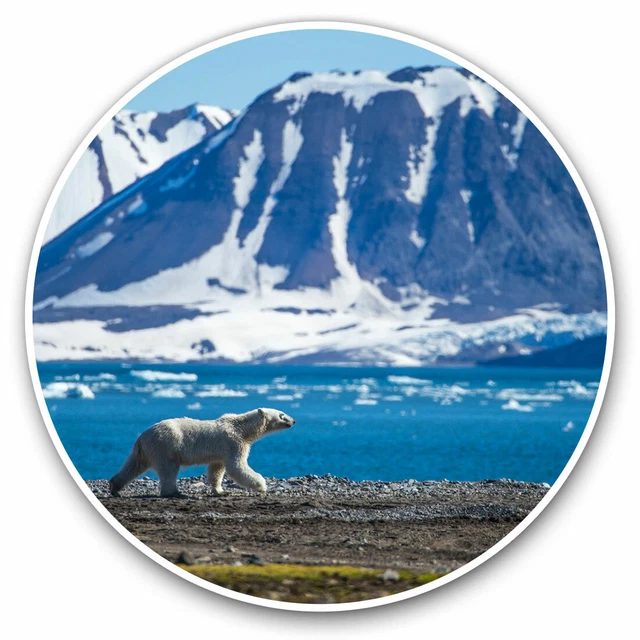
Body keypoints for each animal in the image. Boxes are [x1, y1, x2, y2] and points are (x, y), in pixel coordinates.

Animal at [108, 408, 295, 497]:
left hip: (146, 450)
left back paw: (115, 487)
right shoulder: (234, 443)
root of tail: (142, 437)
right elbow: (237, 467)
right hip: (166, 446)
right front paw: (262, 485)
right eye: (282, 414)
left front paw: (220, 491)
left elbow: (217, 469)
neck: (241, 428)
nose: (293, 421)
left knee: (133, 466)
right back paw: (175, 493)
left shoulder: (221, 451)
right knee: (169, 469)